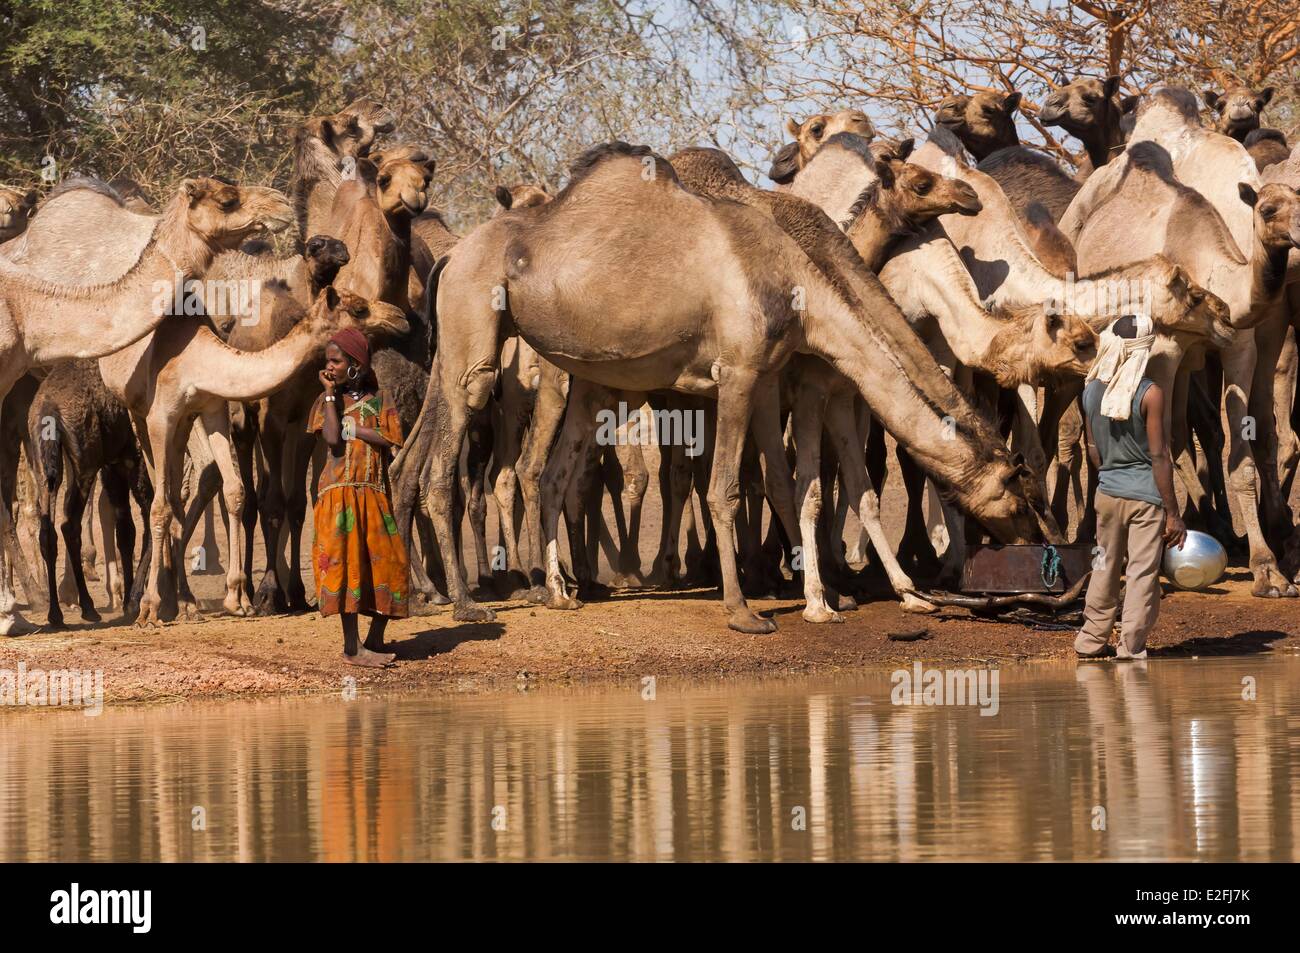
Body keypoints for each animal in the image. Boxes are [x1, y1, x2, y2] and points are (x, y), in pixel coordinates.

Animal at [27, 360, 151, 625]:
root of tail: (49, 409)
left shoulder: (114, 465)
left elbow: (126, 532)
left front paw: (128, 600)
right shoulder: (134, 459)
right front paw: (133, 601)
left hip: (45, 464)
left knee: (48, 532)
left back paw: (56, 613)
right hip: (85, 464)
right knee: (69, 525)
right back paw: (88, 607)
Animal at [417, 142, 1046, 632]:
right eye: (1016, 490)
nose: (1029, 536)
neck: (801, 288)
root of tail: (451, 256)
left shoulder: (785, 380)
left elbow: (804, 484)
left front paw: (865, 594)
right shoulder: (745, 375)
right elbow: (737, 488)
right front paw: (757, 609)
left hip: (586, 378)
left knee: (551, 474)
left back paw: (559, 591)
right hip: (479, 331)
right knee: (458, 456)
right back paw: (472, 603)